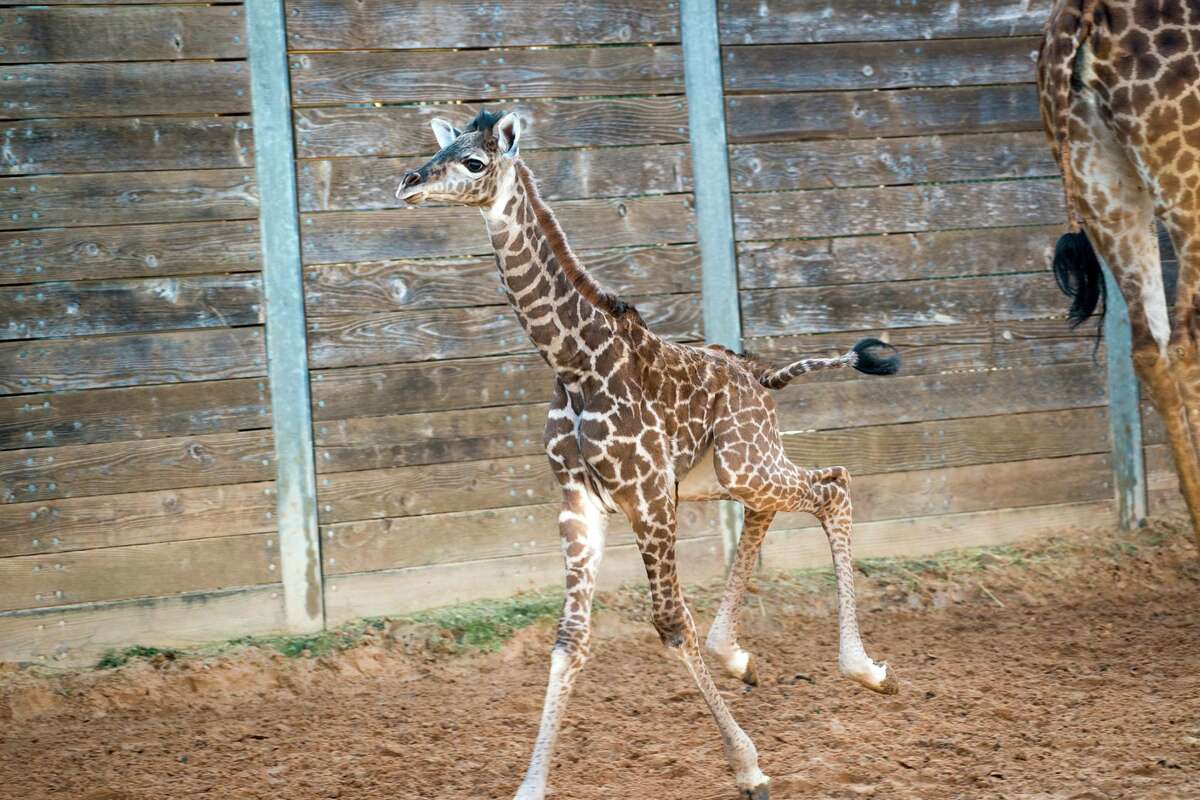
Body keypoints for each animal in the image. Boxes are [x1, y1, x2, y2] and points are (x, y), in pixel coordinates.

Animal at [398, 109, 900, 800]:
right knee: (799, 495)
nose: (409, 182)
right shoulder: (580, 501)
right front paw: (530, 788)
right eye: (439, 150)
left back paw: (866, 670)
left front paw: (749, 766)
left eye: (474, 162)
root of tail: (763, 377)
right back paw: (738, 656)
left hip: (743, 463)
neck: (573, 365)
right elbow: (570, 637)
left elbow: (668, 622)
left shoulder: (648, 498)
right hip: (726, 473)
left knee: (834, 485)